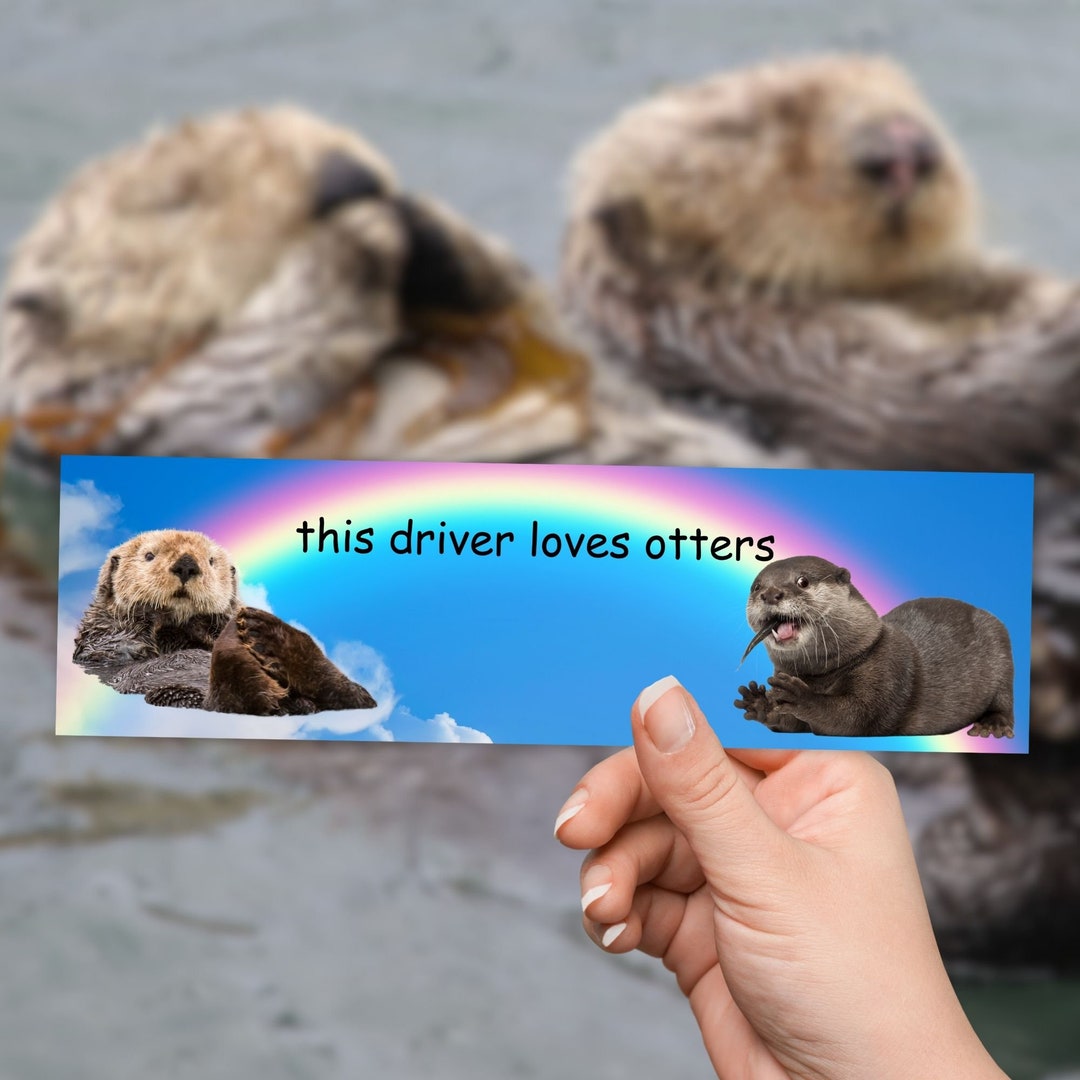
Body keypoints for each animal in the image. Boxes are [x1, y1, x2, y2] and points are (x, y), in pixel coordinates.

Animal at [74, 529, 376, 716]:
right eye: (149, 556)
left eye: (210, 561)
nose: (186, 564)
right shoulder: (99, 635)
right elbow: (118, 643)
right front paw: (150, 609)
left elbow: (215, 624)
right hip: (174, 694)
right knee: (233, 703)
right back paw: (241, 649)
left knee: (355, 697)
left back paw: (268, 636)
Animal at [735, 555, 1014, 738]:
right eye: (757, 586)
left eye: (802, 581)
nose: (770, 594)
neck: (822, 674)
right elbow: (789, 724)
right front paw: (759, 703)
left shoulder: (886, 670)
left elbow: (856, 716)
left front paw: (801, 696)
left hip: (1001, 646)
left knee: (1005, 700)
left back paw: (993, 724)